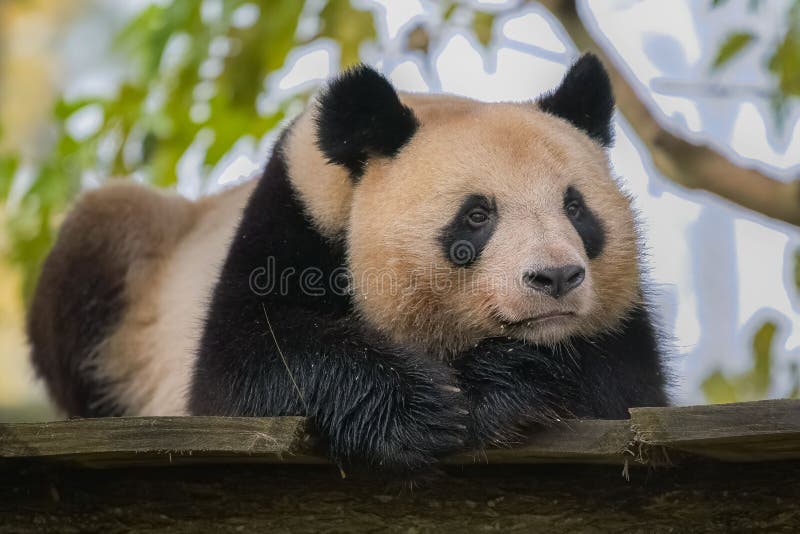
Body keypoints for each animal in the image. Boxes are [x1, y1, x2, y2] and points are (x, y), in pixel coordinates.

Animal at [28, 54, 668, 473]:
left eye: (576, 207)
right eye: (476, 216)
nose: (555, 277)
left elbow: (623, 384)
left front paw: (504, 383)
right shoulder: (292, 214)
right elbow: (241, 368)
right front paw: (433, 408)